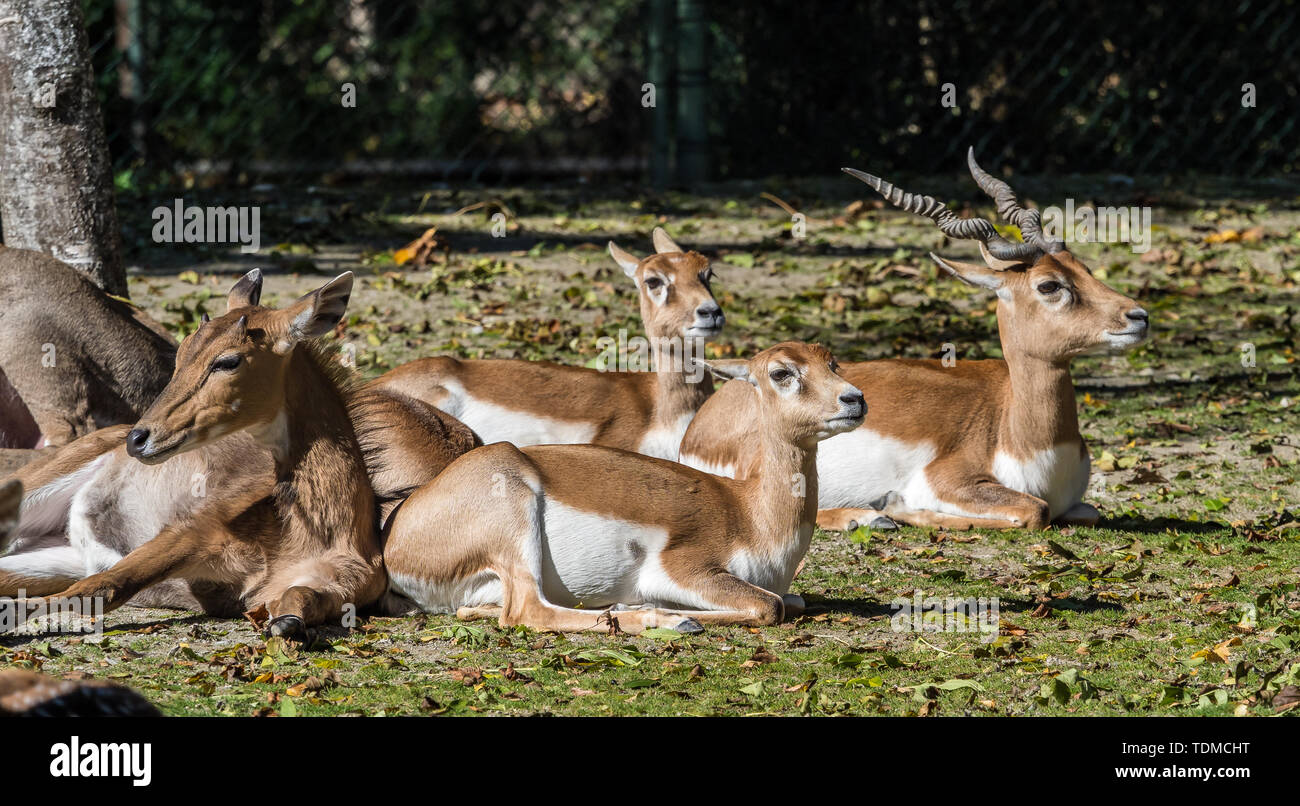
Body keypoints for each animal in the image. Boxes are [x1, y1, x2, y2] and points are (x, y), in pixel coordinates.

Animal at [0, 271, 391, 638]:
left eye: (228, 361)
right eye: (182, 351)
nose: (138, 438)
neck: (317, 534)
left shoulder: (335, 587)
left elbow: (299, 600)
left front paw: (287, 625)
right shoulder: (191, 532)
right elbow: (104, 587)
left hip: (57, 558)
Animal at [381, 342, 865, 634]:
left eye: (832, 363)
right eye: (782, 372)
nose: (854, 399)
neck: (749, 511)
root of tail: (396, 532)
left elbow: (792, 599)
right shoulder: (685, 568)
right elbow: (769, 605)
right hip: (515, 523)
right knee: (527, 611)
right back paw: (663, 619)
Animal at [679, 149, 1149, 531]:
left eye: (1083, 268)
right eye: (1049, 285)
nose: (1138, 316)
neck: (1023, 434)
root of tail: (700, 425)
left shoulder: (1077, 505)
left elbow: (1088, 511)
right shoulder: (950, 480)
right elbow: (1035, 510)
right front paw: (900, 507)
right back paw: (868, 516)